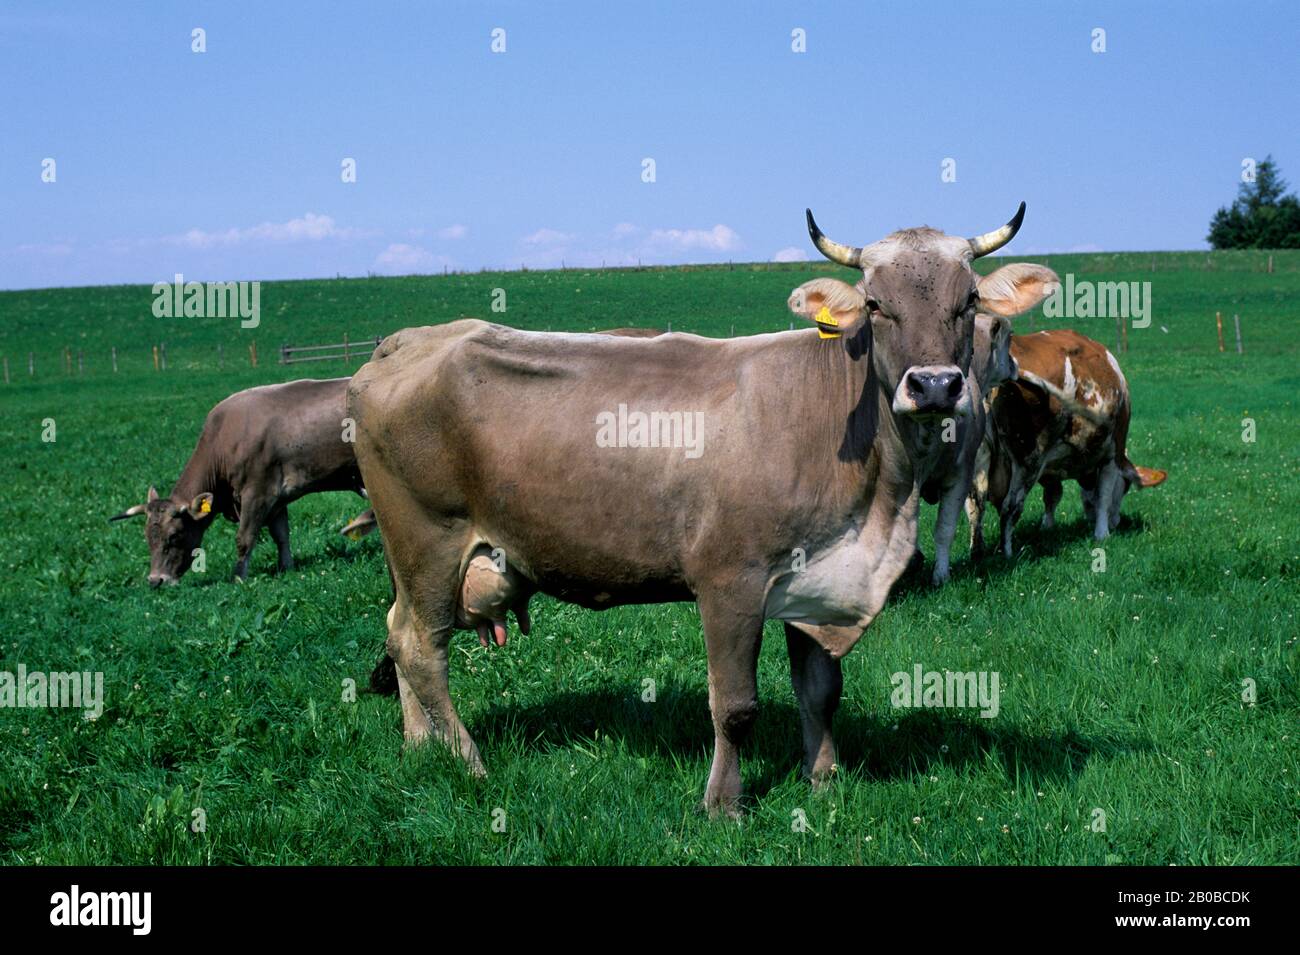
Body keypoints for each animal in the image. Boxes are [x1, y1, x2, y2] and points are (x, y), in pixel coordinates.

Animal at [110, 377, 367, 586]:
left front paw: (238, 577)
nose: (156, 580)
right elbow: (281, 535)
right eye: (147, 537)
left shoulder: (258, 493)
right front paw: (286, 567)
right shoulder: (277, 499)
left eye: (174, 535)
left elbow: (244, 538)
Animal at [347, 204, 1058, 816]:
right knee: (421, 646)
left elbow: (822, 692)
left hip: (412, 555)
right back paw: (468, 763)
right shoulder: (729, 581)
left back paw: (420, 747)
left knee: (397, 627)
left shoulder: (818, 576)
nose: (934, 385)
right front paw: (724, 804)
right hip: (427, 538)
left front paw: (824, 780)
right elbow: (735, 706)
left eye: (968, 302)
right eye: (876, 305)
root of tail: (408, 341)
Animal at [966, 329, 1167, 558]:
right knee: (1010, 507)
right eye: (1125, 486)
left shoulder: (1050, 468)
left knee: (974, 506)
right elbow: (1104, 495)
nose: (1116, 522)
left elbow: (1053, 495)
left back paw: (977, 552)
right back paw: (1007, 554)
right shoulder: (1111, 454)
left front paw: (1047, 527)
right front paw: (1102, 533)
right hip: (1029, 459)